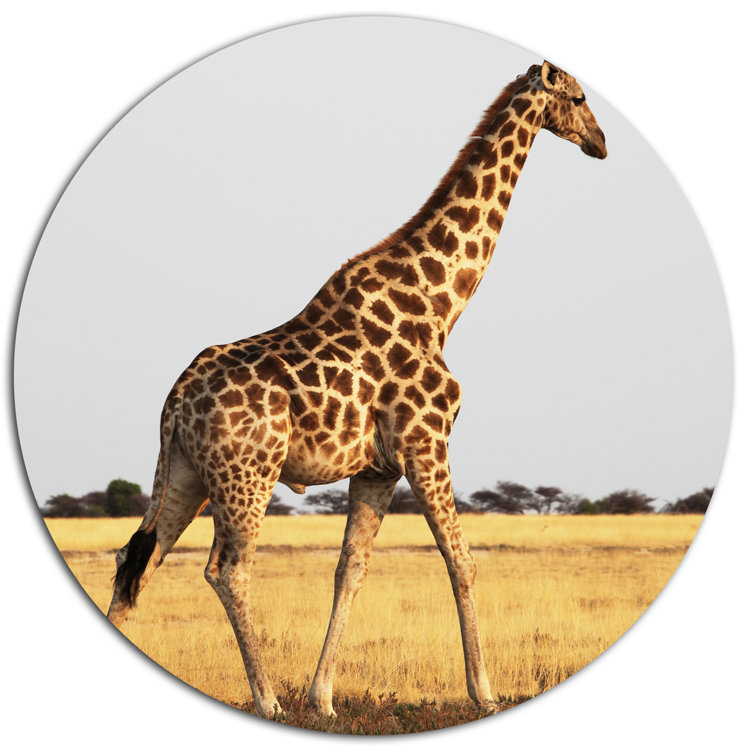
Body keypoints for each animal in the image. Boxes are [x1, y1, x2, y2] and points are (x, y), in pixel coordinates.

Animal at [107, 61, 606, 718]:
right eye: (578, 97)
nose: (601, 143)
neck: (440, 304)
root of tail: (174, 402)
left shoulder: (377, 468)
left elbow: (351, 570)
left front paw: (323, 698)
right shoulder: (427, 445)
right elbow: (462, 562)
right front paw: (484, 691)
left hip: (187, 474)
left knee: (136, 559)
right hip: (247, 476)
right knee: (226, 570)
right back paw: (268, 700)